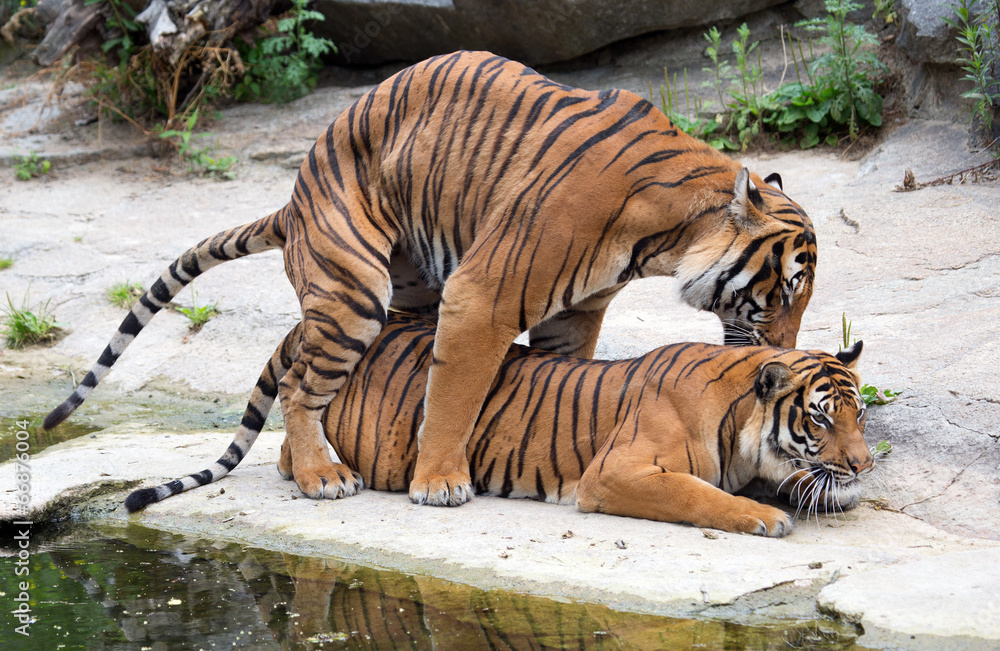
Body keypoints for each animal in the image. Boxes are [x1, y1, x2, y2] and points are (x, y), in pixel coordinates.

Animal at [46, 50, 817, 509]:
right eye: (781, 293)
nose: (782, 350)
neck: (667, 234)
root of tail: (294, 197)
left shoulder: (574, 312)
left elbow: (553, 380)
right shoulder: (482, 295)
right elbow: (454, 393)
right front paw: (441, 482)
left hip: (407, 292)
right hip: (353, 294)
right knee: (298, 386)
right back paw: (323, 475)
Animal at [127, 312, 871, 536]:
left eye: (860, 416)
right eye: (819, 417)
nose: (865, 464)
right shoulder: (614, 473)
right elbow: (698, 493)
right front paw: (765, 516)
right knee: (292, 427)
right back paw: (328, 473)